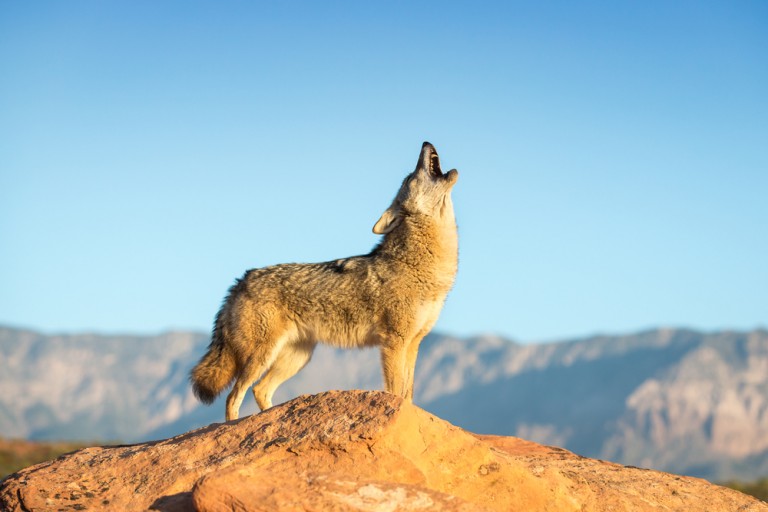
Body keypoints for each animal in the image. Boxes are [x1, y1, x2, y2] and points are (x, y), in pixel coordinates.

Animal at [190, 142, 459, 421]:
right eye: (408, 178)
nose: (426, 143)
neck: (419, 265)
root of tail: (240, 280)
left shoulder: (413, 344)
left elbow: (409, 394)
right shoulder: (394, 343)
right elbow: (397, 392)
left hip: (296, 358)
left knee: (259, 391)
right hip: (262, 357)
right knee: (234, 397)